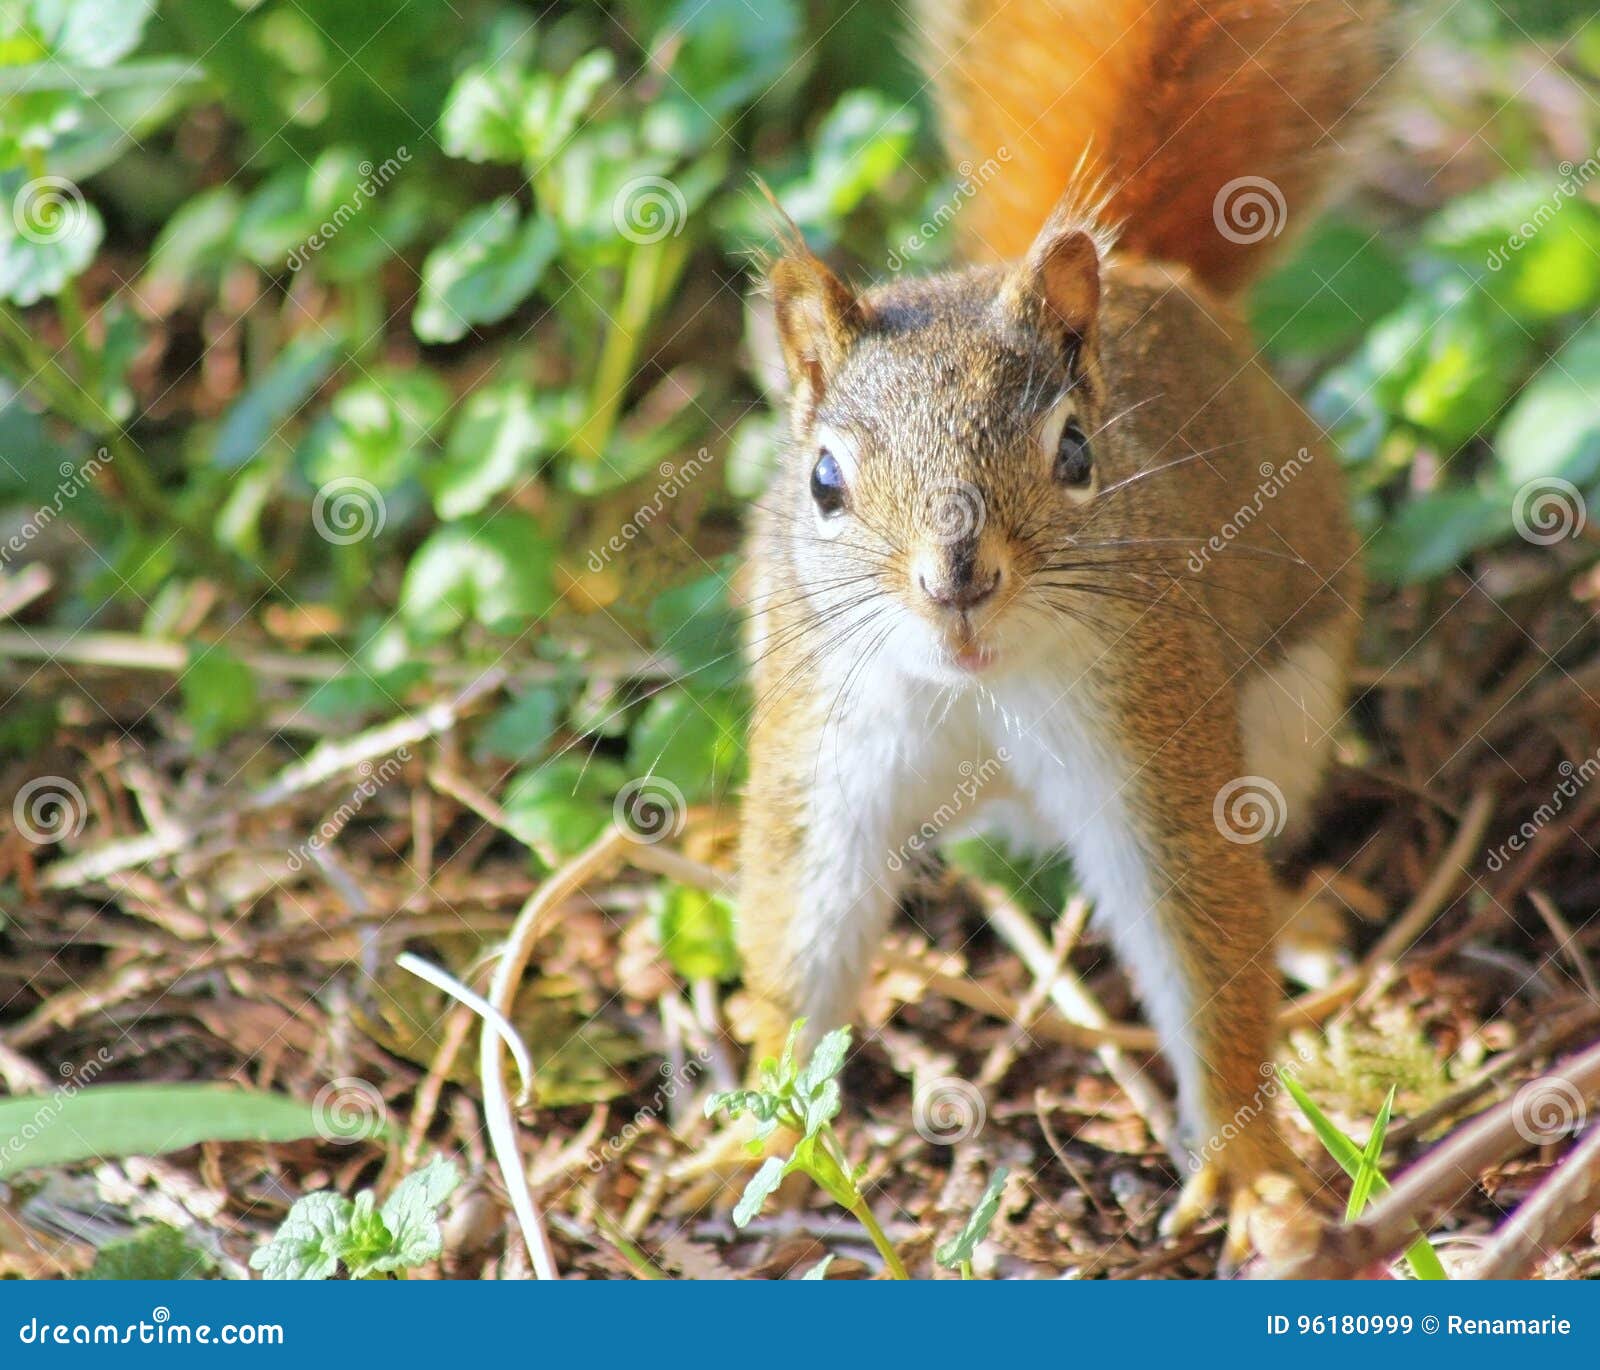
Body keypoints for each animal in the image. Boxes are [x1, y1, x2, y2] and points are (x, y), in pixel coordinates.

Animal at [735, 0, 1378, 1259]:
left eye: (1075, 451)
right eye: (824, 481)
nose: (957, 579)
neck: (974, 687)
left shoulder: (1149, 724)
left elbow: (1199, 928)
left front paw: (1247, 1168)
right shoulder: (827, 743)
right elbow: (805, 926)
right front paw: (764, 1131)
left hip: (1287, 704)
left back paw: (1301, 915)